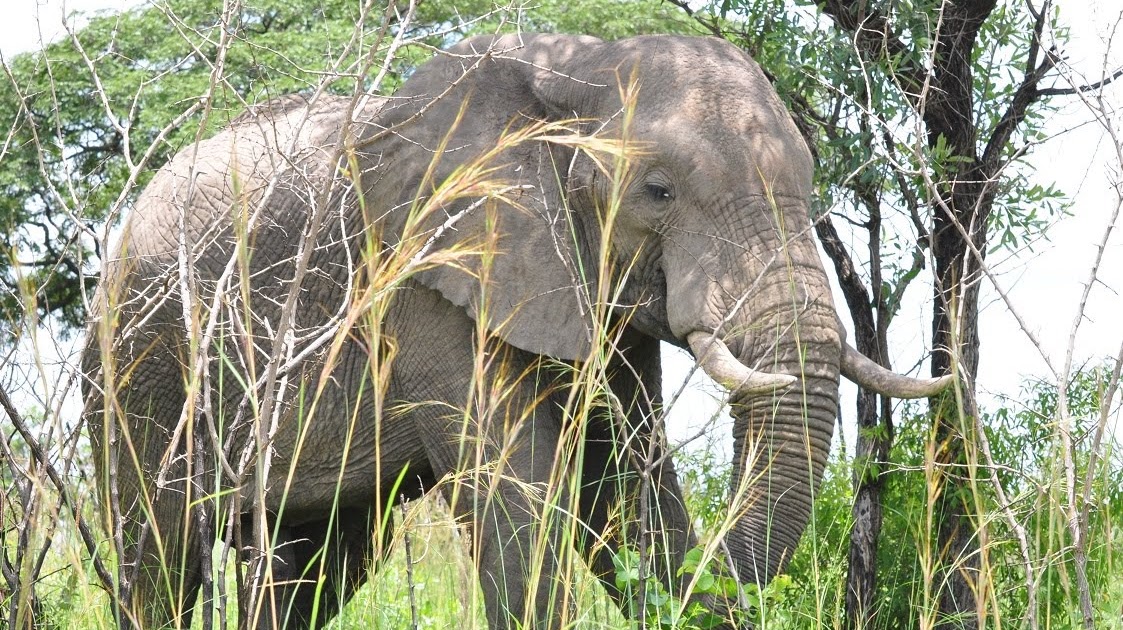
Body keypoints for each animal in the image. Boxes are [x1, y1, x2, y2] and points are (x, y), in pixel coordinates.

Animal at [82, 33, 950, 629]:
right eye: (658, 192)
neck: (569, 75)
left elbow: (618, 488)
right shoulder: (427, 278)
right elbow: (515, 498)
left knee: (312, 564)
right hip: (136, 360)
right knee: (156, 557)